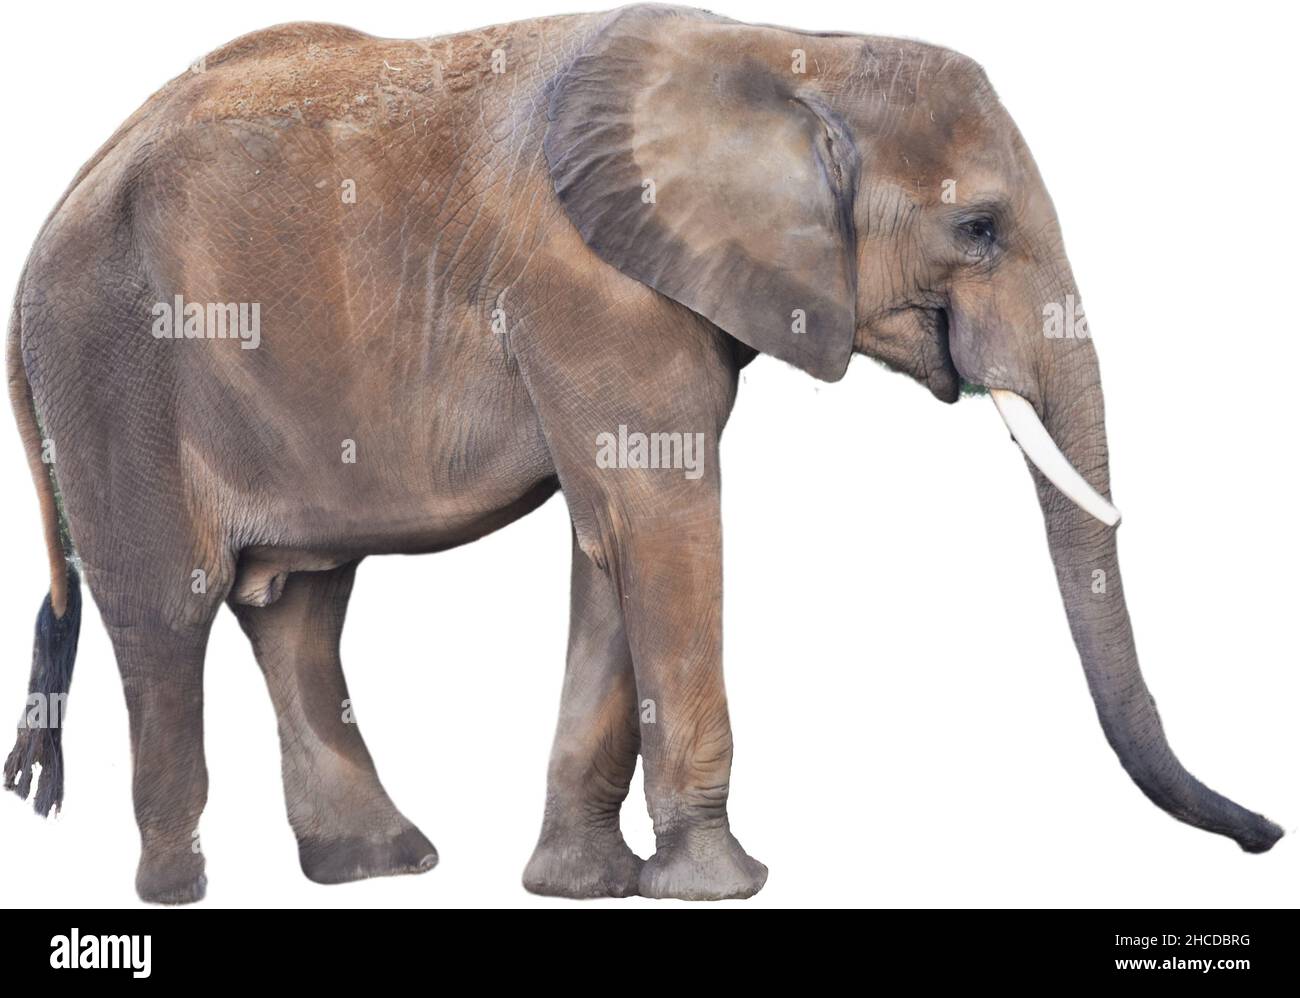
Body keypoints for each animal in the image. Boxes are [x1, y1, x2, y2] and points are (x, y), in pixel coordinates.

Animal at [4, 4, 1282, 904]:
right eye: (978, 228)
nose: (1266, 833)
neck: (795, 51)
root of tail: (57, 200)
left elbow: (610, 536)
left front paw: (582, 886)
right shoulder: (593, 290)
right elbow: (661, 517)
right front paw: (721, 885)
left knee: (299, 608)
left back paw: (384, 867)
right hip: (111, 359)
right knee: (169, 609)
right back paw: (182, 888)